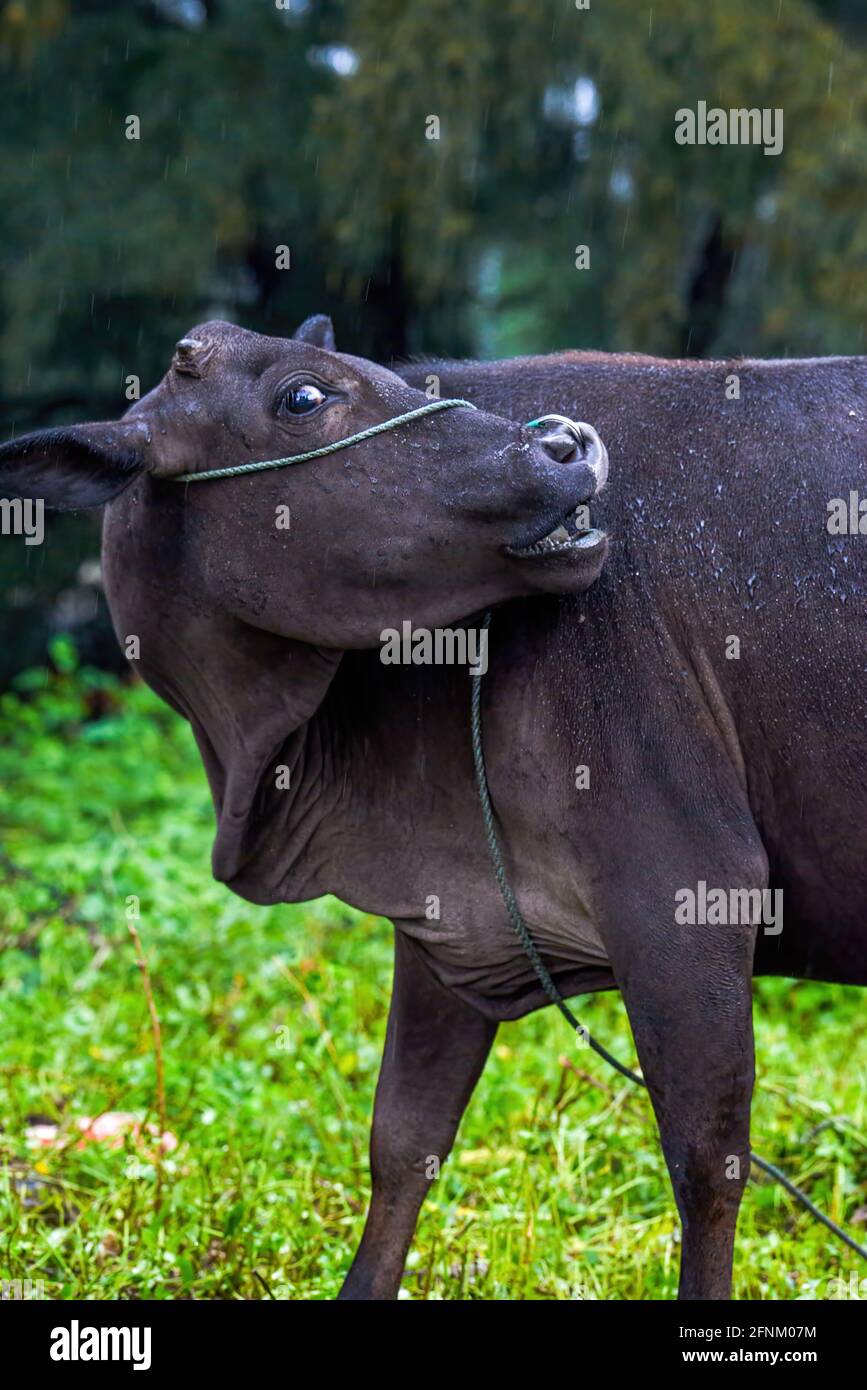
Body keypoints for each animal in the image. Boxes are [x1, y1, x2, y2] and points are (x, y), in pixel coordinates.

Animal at [1, 315, 864, 1300]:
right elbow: (402, 1143)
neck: (269, 759)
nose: (563, 442)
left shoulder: (689, 882)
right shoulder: (452, 914)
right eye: (304, 395)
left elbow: (706, 1161)